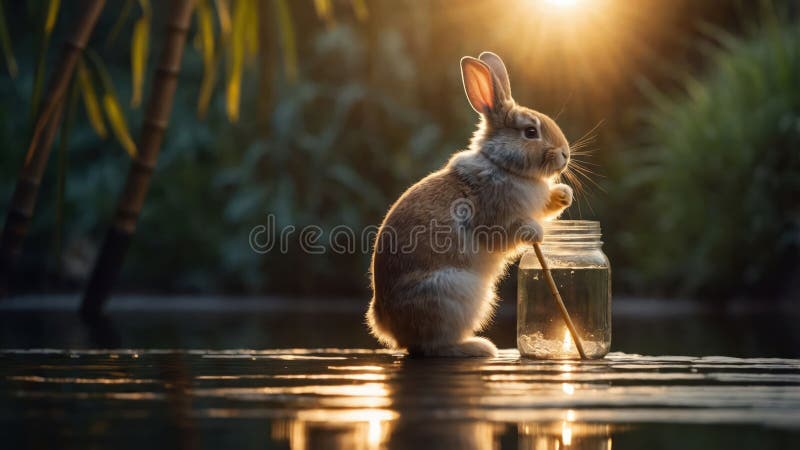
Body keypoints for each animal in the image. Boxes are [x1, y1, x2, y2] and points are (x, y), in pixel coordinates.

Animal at [367, 52, 573, 357]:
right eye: (530, 131)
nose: (565, 154)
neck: (502, 165)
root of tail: (387, 326)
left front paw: (563, 194)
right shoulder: (493, 219)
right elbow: (509, 233)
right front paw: (536, 232)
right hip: (455, 295)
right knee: (430, 346)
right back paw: (479, 347)